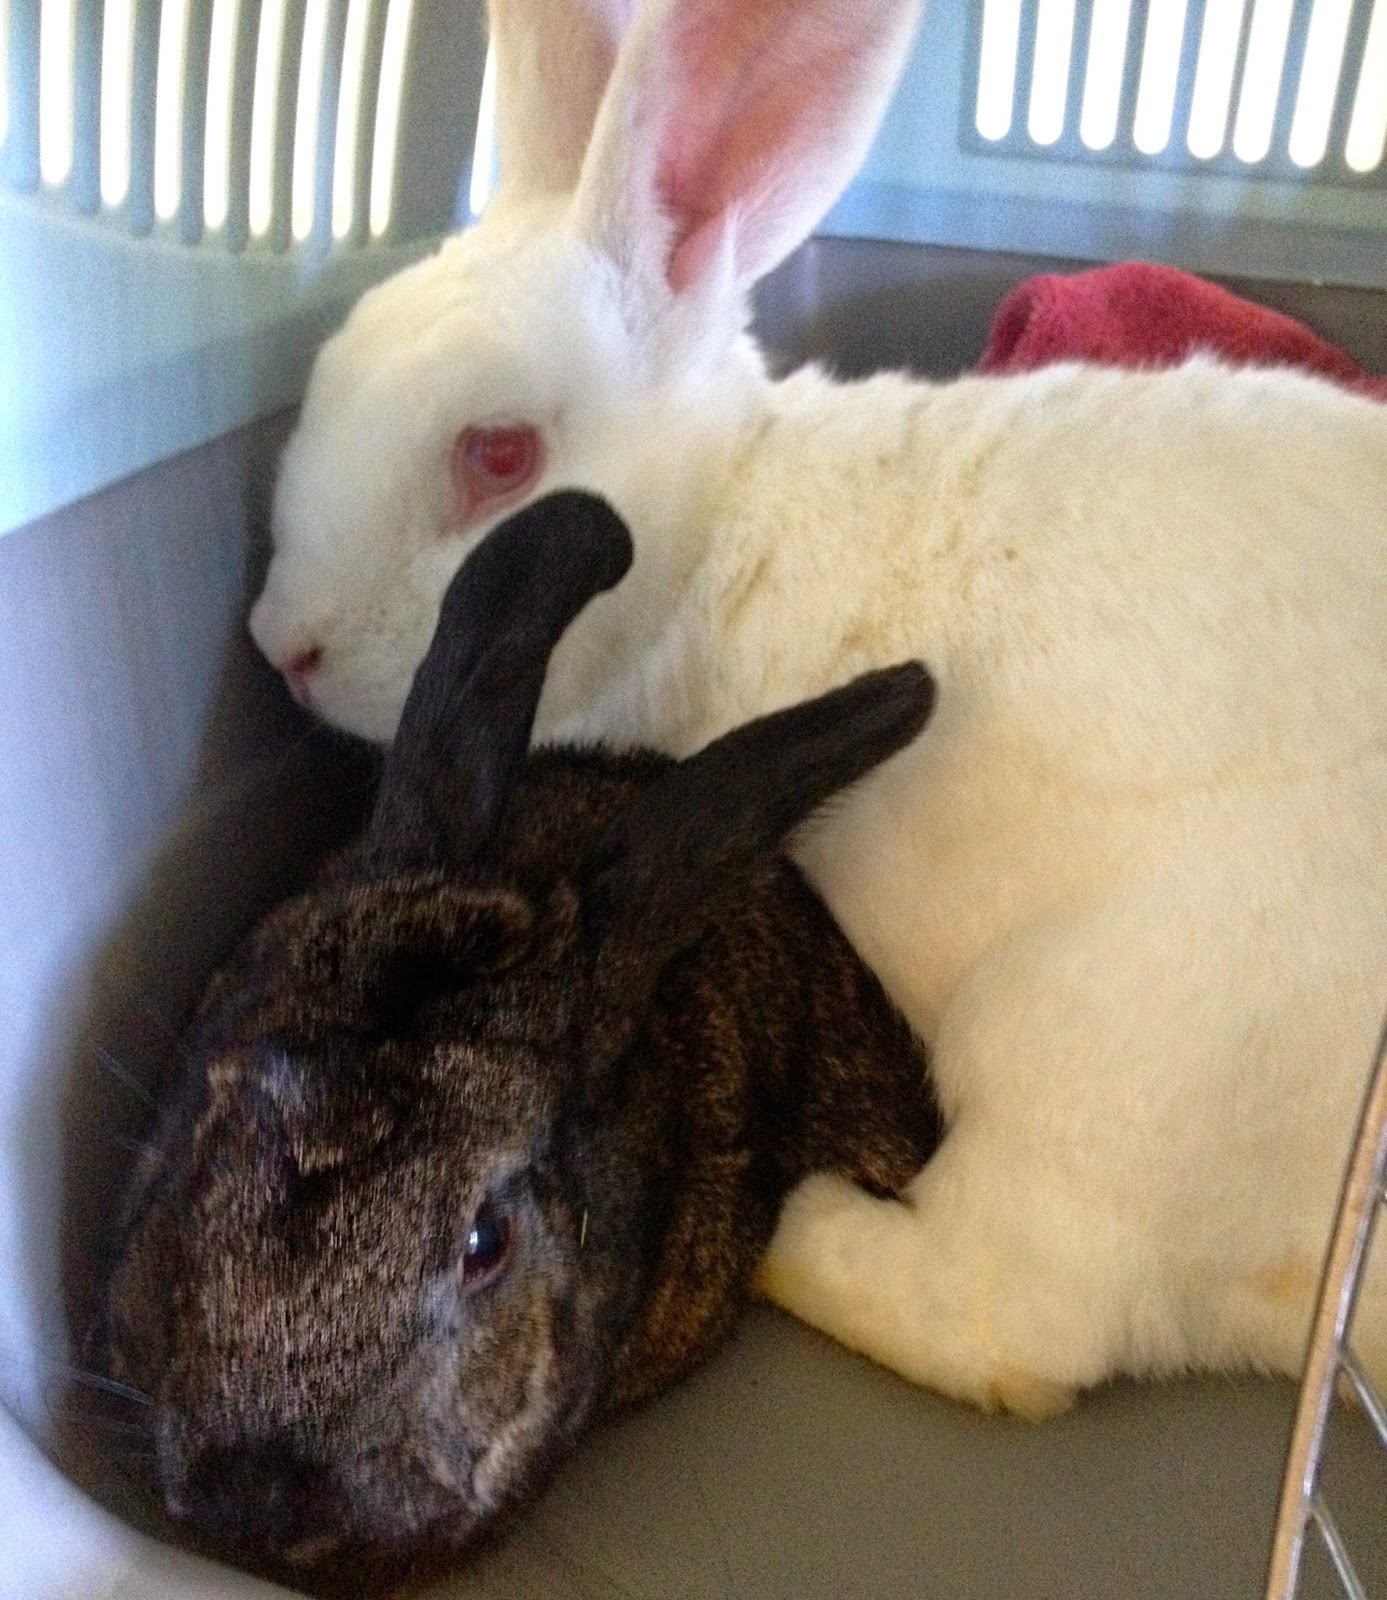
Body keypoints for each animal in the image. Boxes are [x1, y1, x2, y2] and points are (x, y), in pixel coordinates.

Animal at [248, 0, 1387, 1418]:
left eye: (498, 454)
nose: (278, 644)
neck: (732, 522)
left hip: (1107, 1036)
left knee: (1017, 1320)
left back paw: (807, 1230)